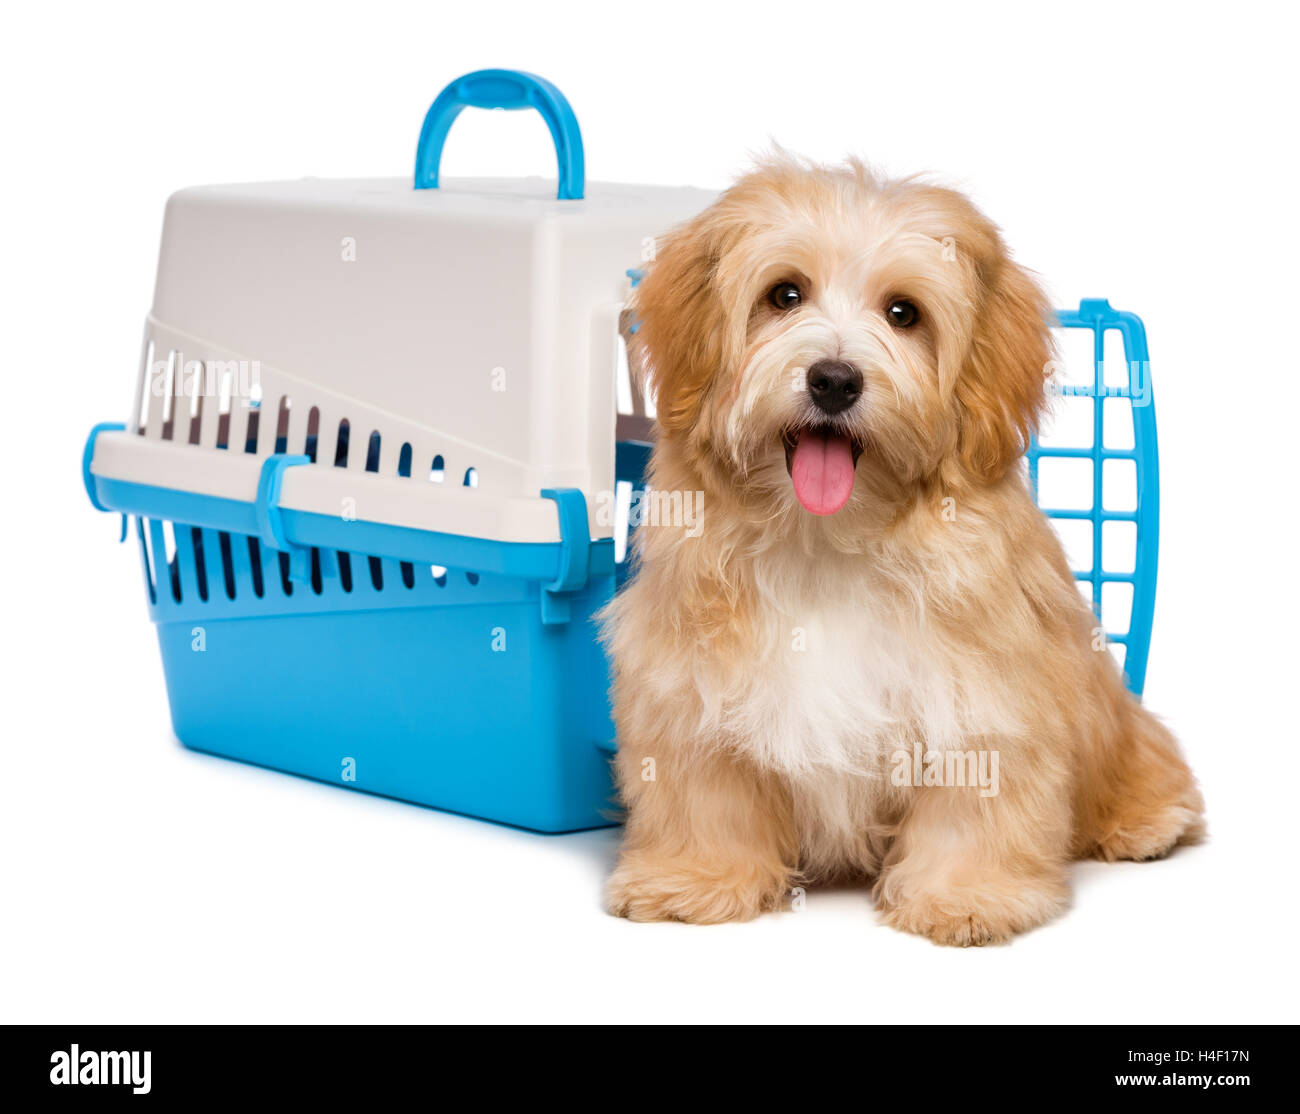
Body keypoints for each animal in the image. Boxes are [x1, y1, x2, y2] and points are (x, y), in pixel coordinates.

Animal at [603, 154, 1201, 941]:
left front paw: (964, 894)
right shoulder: (688, 684)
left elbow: (973, 801)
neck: (825, 541)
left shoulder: (984, 696)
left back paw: (1149, 820)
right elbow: (706, 794)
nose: (833, 379)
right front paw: (692, 879)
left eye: (903, 314)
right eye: (783, 295)